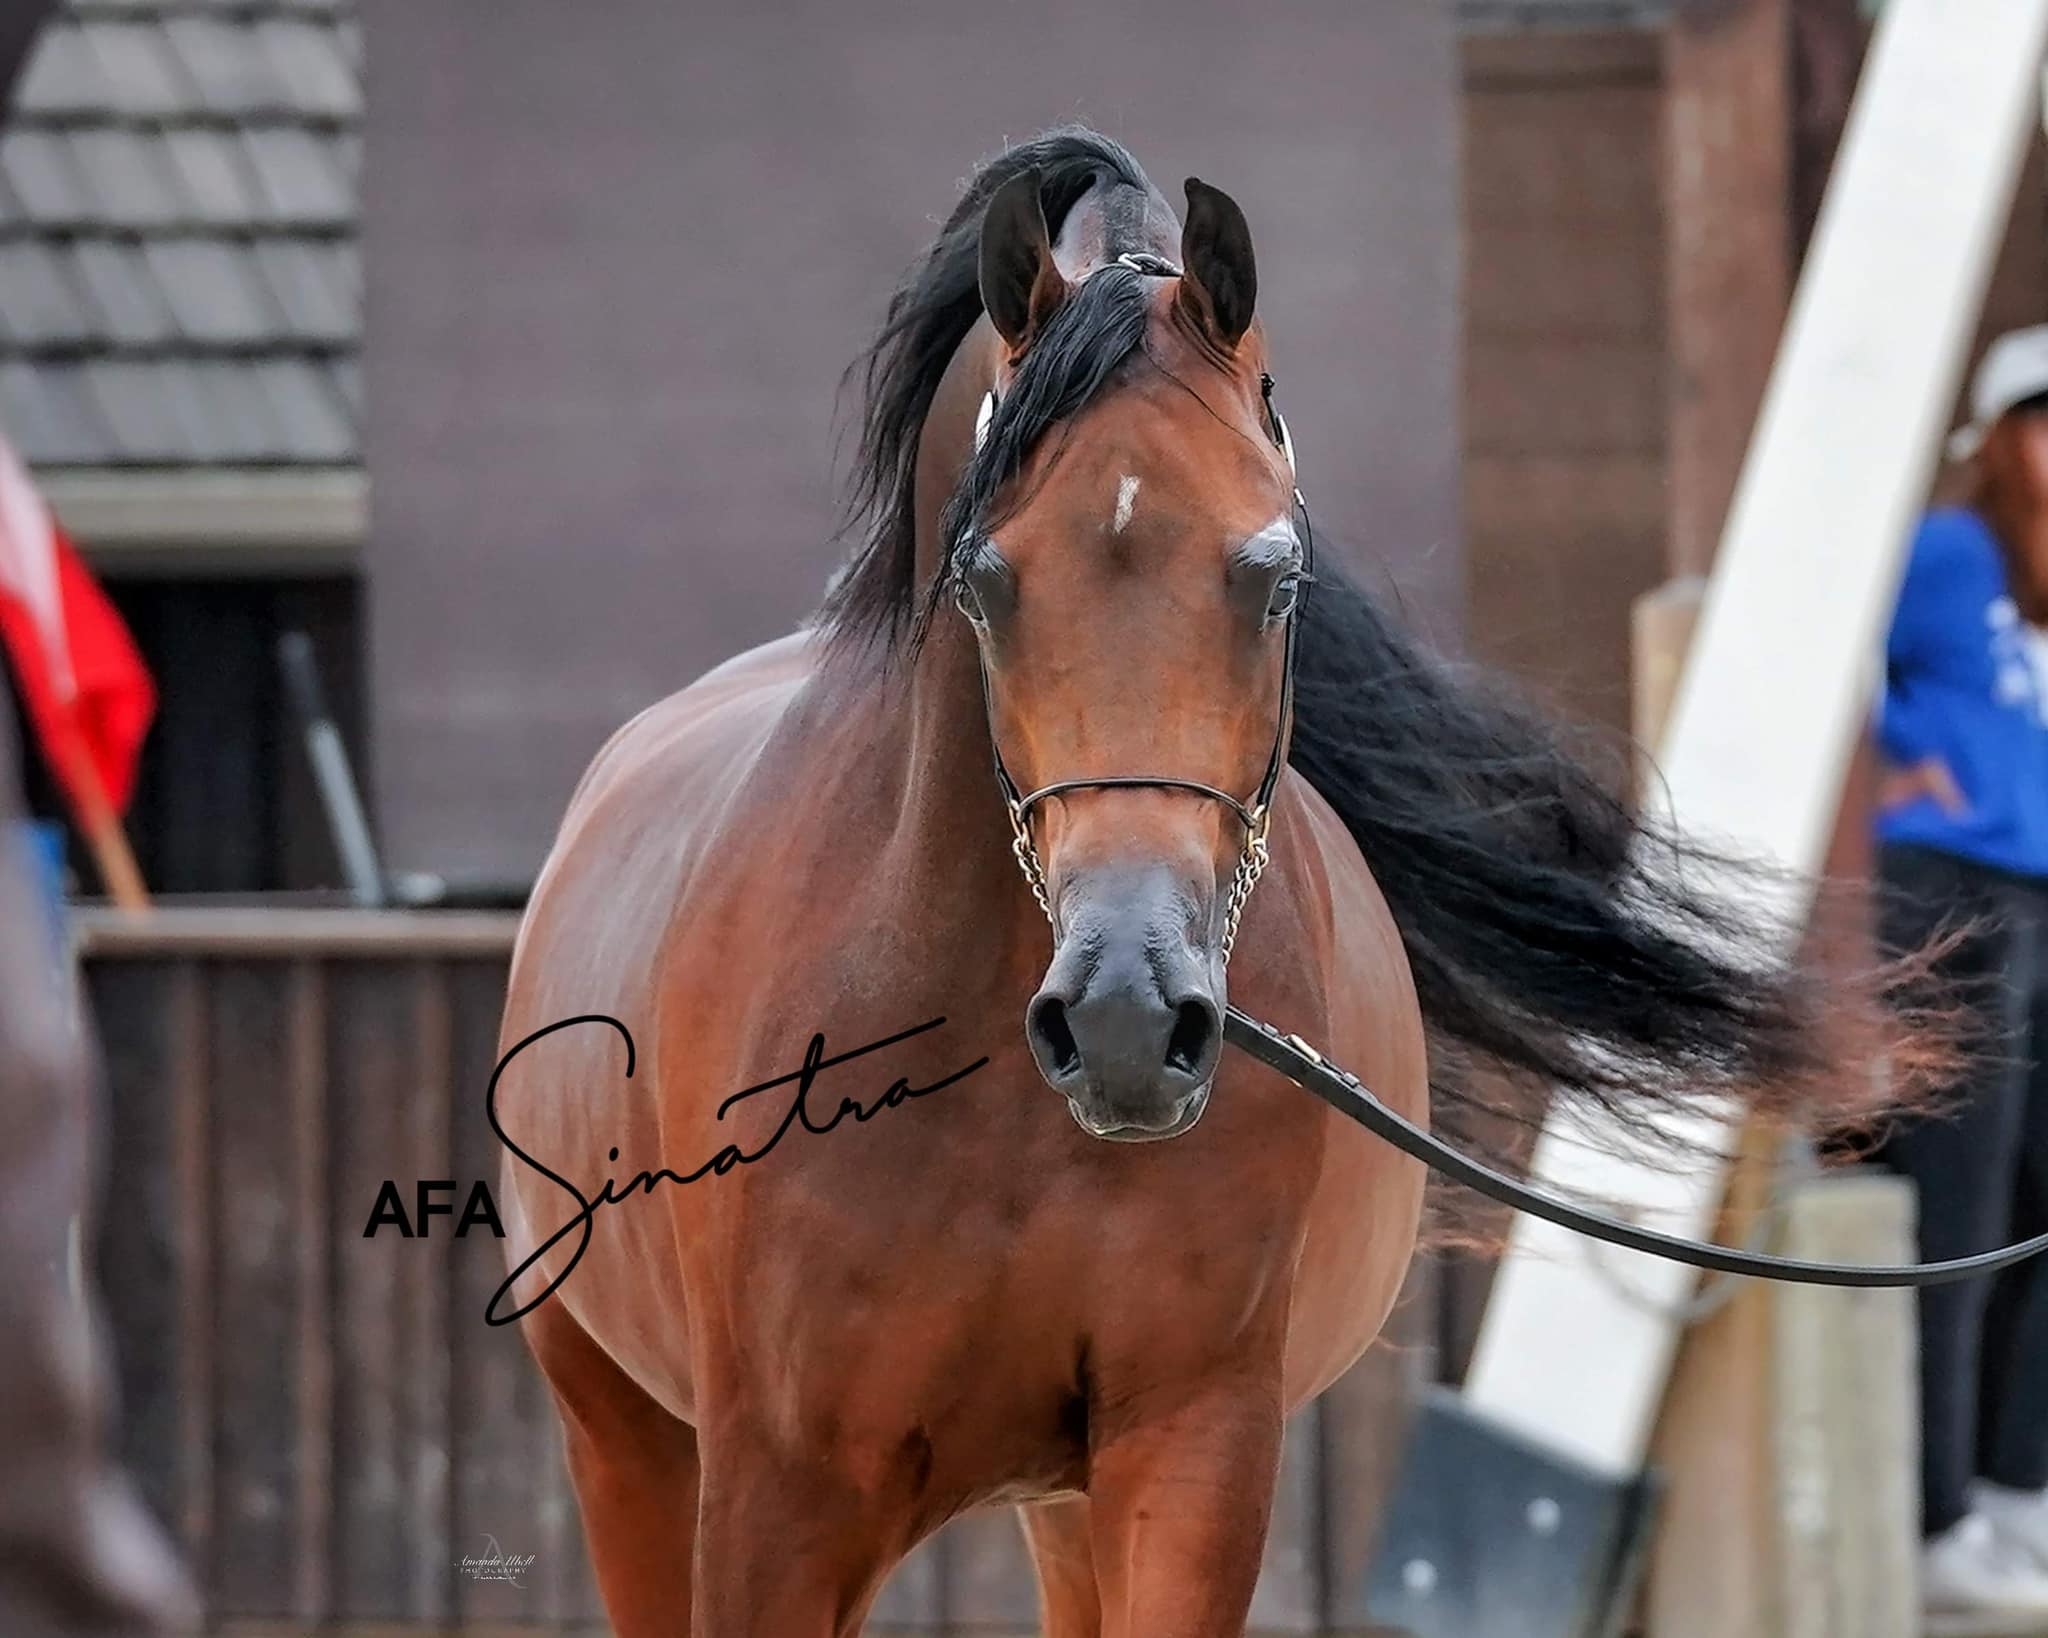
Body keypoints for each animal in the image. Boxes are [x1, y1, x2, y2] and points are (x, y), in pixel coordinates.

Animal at [493, 128, 1923, 1637]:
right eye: (984, 580)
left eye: (1276, 578)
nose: (1125, 1018)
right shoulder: (776, 1496)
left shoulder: (1189, 1453)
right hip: (620, 1437)